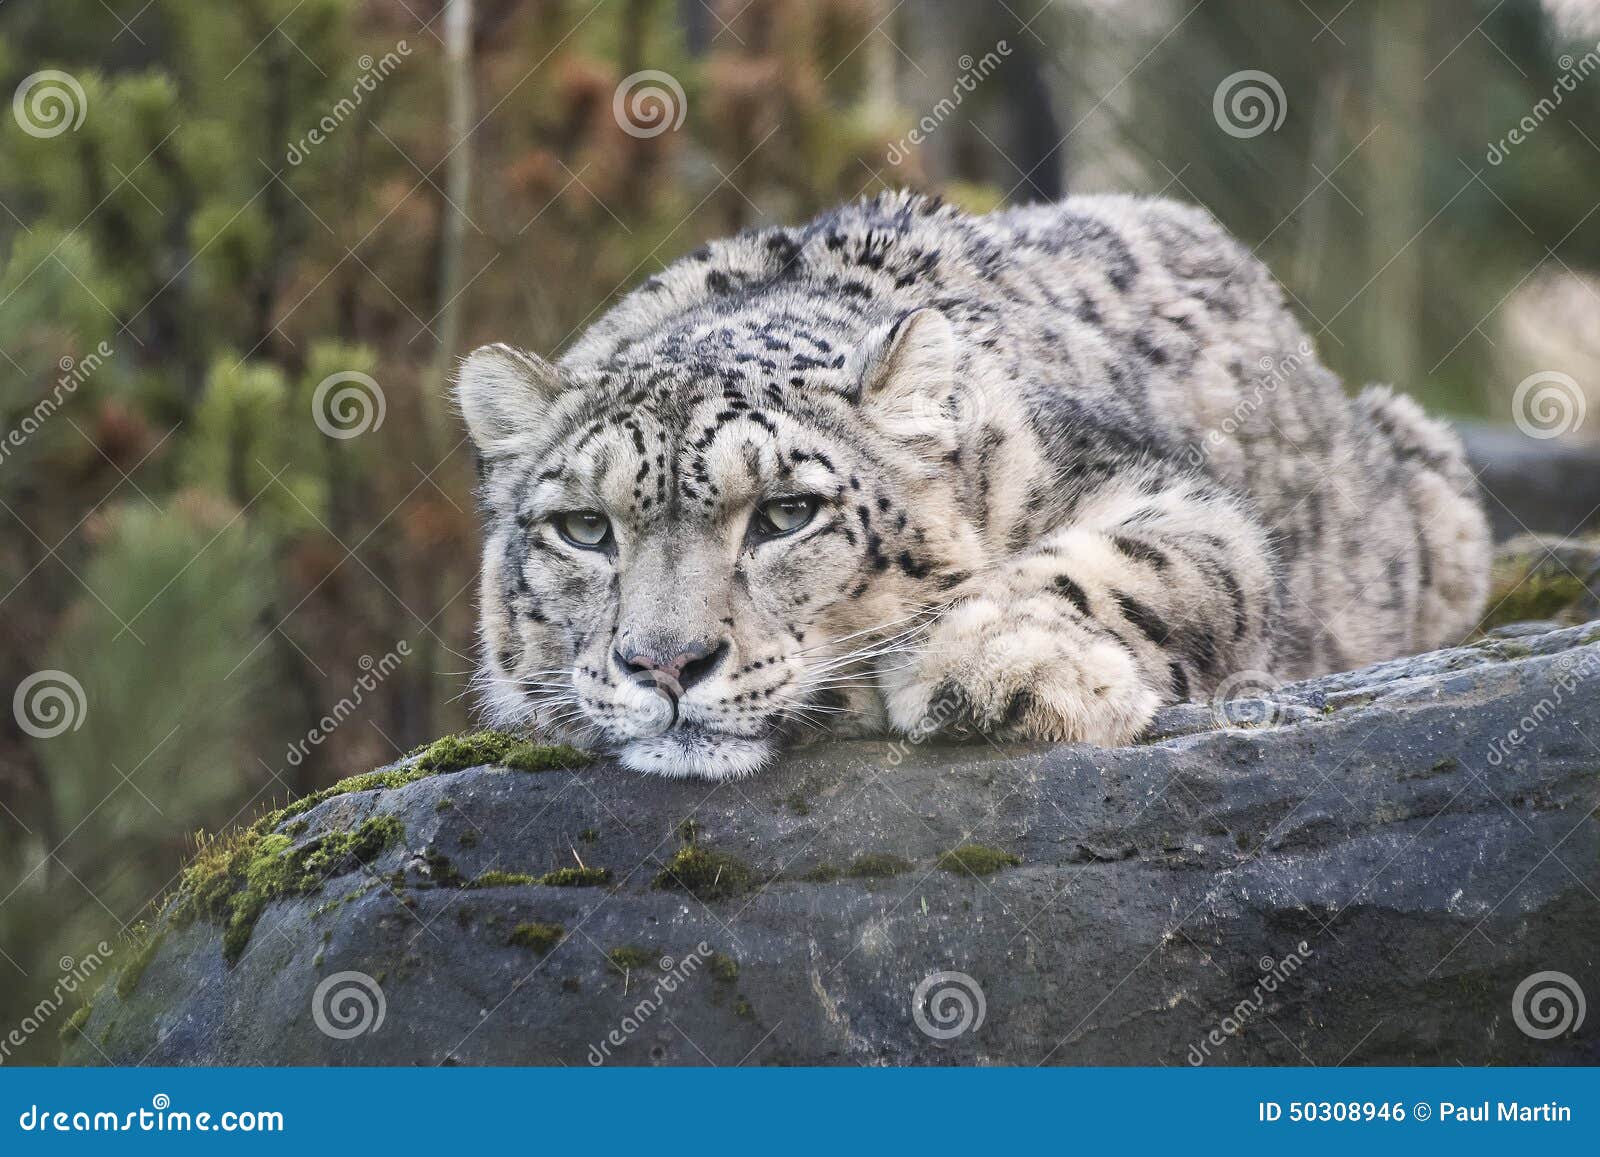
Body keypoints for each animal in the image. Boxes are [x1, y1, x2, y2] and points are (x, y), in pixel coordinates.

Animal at [455, 190, 1491, 779]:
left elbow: (1130, 562)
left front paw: (995, 666)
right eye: (585, 528)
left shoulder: (1163, 489)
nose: (665, 664)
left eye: (787, 513)